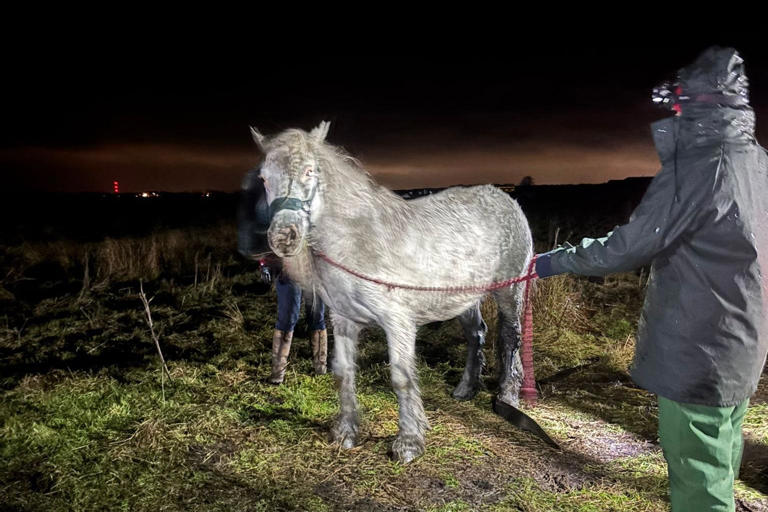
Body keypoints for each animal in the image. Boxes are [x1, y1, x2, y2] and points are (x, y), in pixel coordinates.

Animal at [247, 122, 533, 463]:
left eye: (309, 171)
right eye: (264, 177)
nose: (284, 237)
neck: (358, 243)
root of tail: (507, 199)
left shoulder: (398, 323)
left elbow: (401, 377)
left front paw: (409, 442)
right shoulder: (343, 320)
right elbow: (343, 372)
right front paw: (346, 432)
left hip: (510, 291)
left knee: (510, 337)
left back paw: (508, 396)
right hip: (464, 299)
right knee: (476, 334)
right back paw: (466, 389)